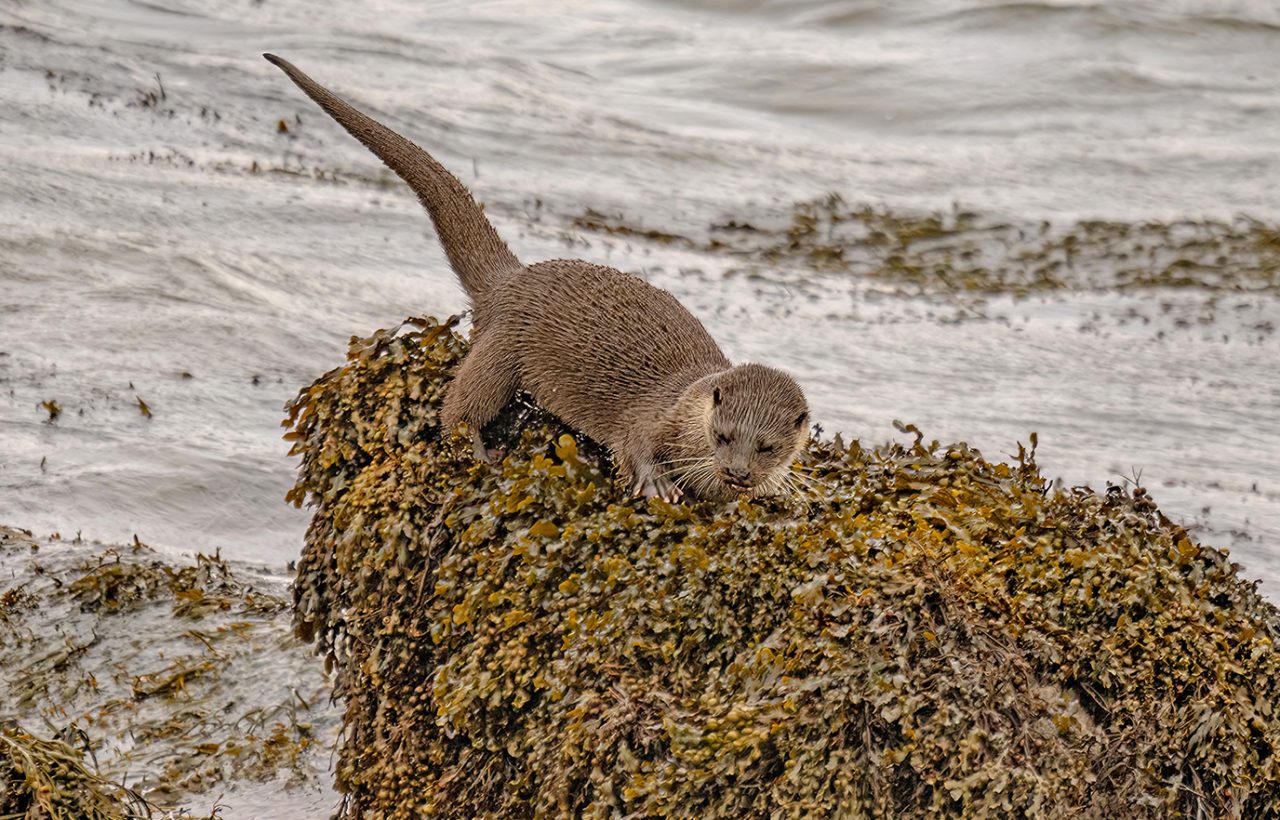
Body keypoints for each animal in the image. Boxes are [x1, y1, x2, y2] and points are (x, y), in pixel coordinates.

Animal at [265, 54, 809, 502]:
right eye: (723, 436)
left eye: (767, 447)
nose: (737, 472)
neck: (687, 410)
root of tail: (511, 281)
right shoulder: (652, 416)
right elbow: (631, 443)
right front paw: (656, 483)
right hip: (503, 349)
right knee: (459, 406)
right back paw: (479, 452)